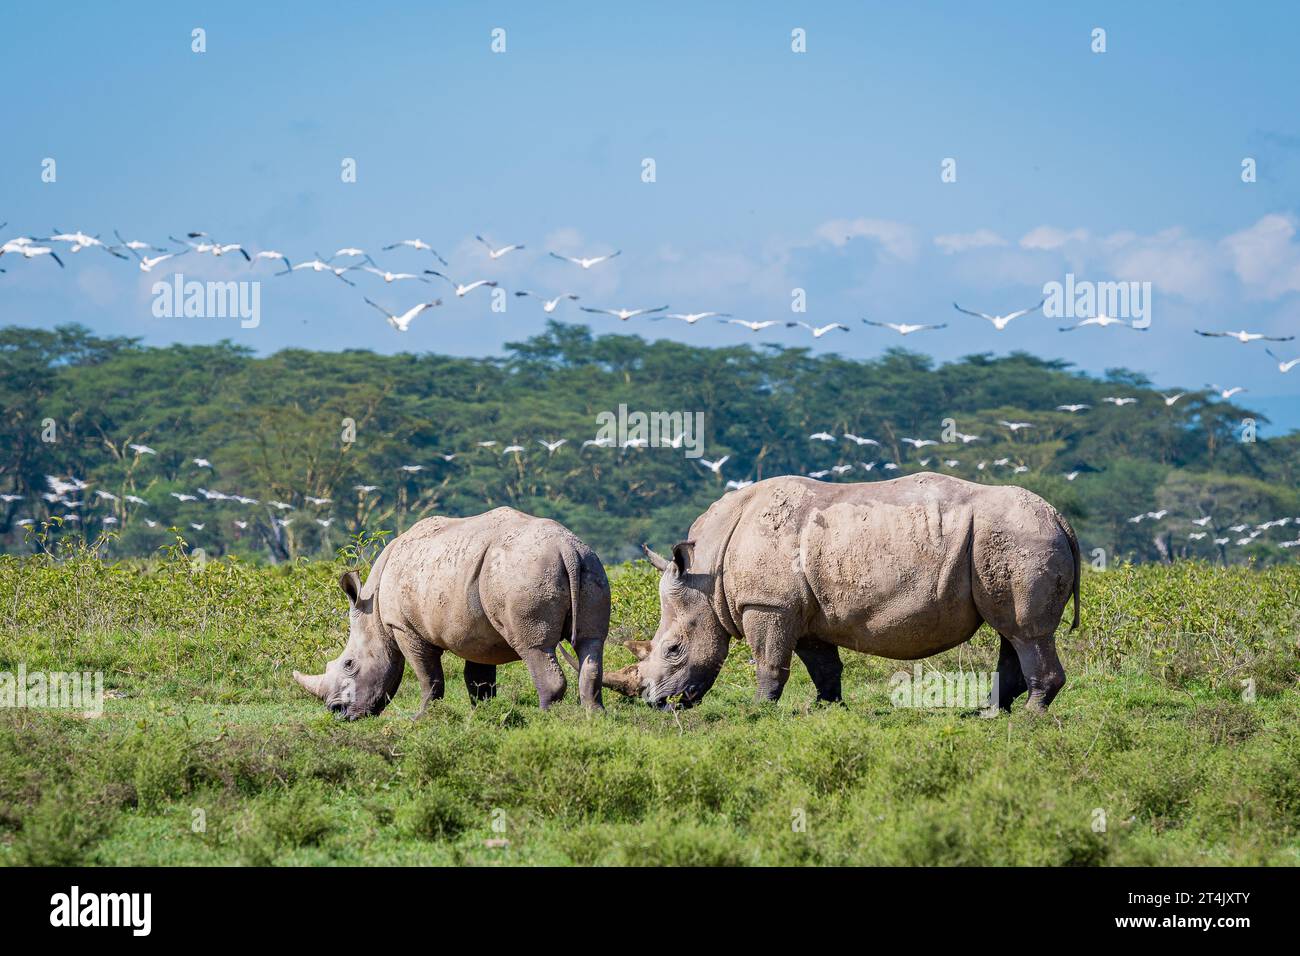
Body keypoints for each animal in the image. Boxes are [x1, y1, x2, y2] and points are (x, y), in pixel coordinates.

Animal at [294, 507, 610, 719]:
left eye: (349, 664)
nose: (336, 712)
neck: (375, 617)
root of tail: (565, 547)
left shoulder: (403, 627)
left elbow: (428, 676)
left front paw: (421, 718)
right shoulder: (477, 633)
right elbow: (478, 680)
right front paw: (483, 715)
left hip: (523, 571)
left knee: (534, 647)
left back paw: (545, 720)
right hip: (588, 563)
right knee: (591, 643)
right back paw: (594, 718)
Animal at [603, 473, 1080, 713]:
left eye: (674, 649)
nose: (657, 704)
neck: (707, 569)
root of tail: (1061, 518)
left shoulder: (768, 605)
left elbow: (768, 661)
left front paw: (758, 710)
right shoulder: (801, 609)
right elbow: (822, 665)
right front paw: (826, 709)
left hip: (1020, 537)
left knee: (1025, 632)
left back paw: (1030, 717)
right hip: (1011, 537)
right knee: (1010, 632)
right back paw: (989, 713)